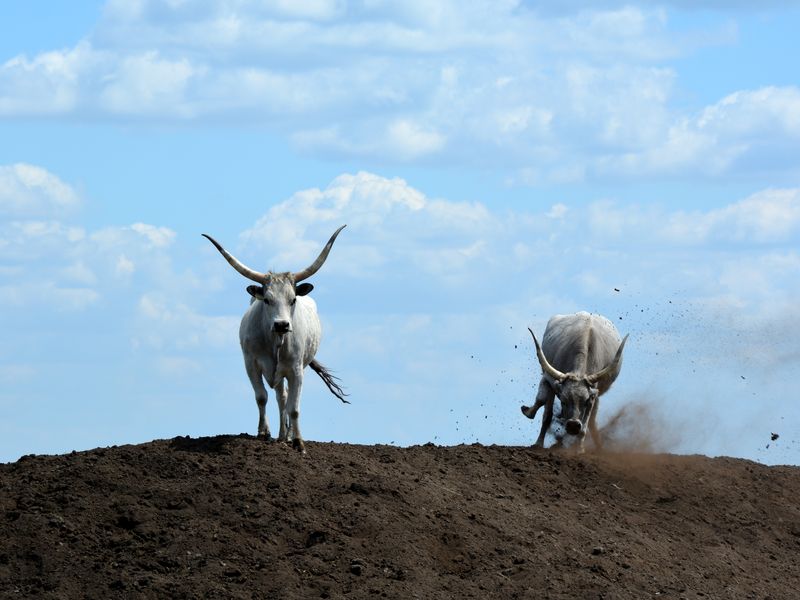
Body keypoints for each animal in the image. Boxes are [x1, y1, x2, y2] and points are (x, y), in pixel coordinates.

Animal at [203, 225, 348, 453]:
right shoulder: (251, 364)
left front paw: (298, 442)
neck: (274, 341)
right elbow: (261, 397)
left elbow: (294, 408)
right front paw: (264, 433)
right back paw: (280, 435)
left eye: (293, 299)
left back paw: (285, 435)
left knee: (284, 398)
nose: (282, 325)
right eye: (267, 300)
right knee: (281, 396)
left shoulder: (296, 369)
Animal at [521, 312, 628, 453]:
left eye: (585, 402)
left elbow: (585, 424)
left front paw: (580, 449)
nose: (572, 425)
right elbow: (544, 407)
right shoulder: (549, 380)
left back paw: (598, 445)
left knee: (592, 419)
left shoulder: (592, 394)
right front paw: (537, 442)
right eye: (563, 401)